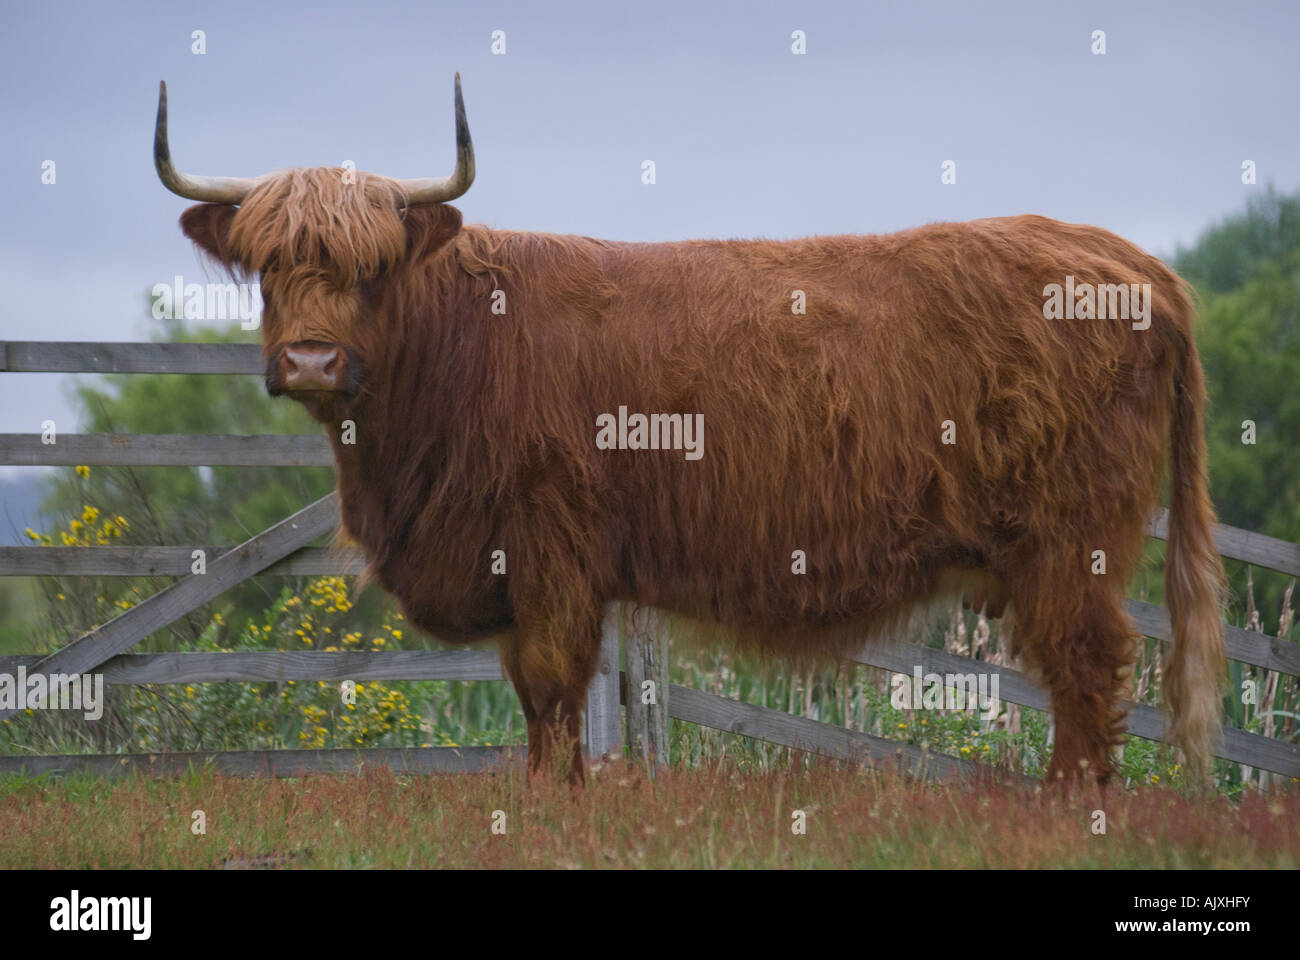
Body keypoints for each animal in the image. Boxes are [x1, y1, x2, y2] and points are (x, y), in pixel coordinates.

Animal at [154, 76, 1226, 786]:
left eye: (371, 266)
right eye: (268, 265)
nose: (311, 363)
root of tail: (1134, 264)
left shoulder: (551, 547)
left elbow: (552, 688)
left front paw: (551, 810)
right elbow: (533, 701)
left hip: (1070, 542)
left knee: (1088, 670)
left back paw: (1069, 810)